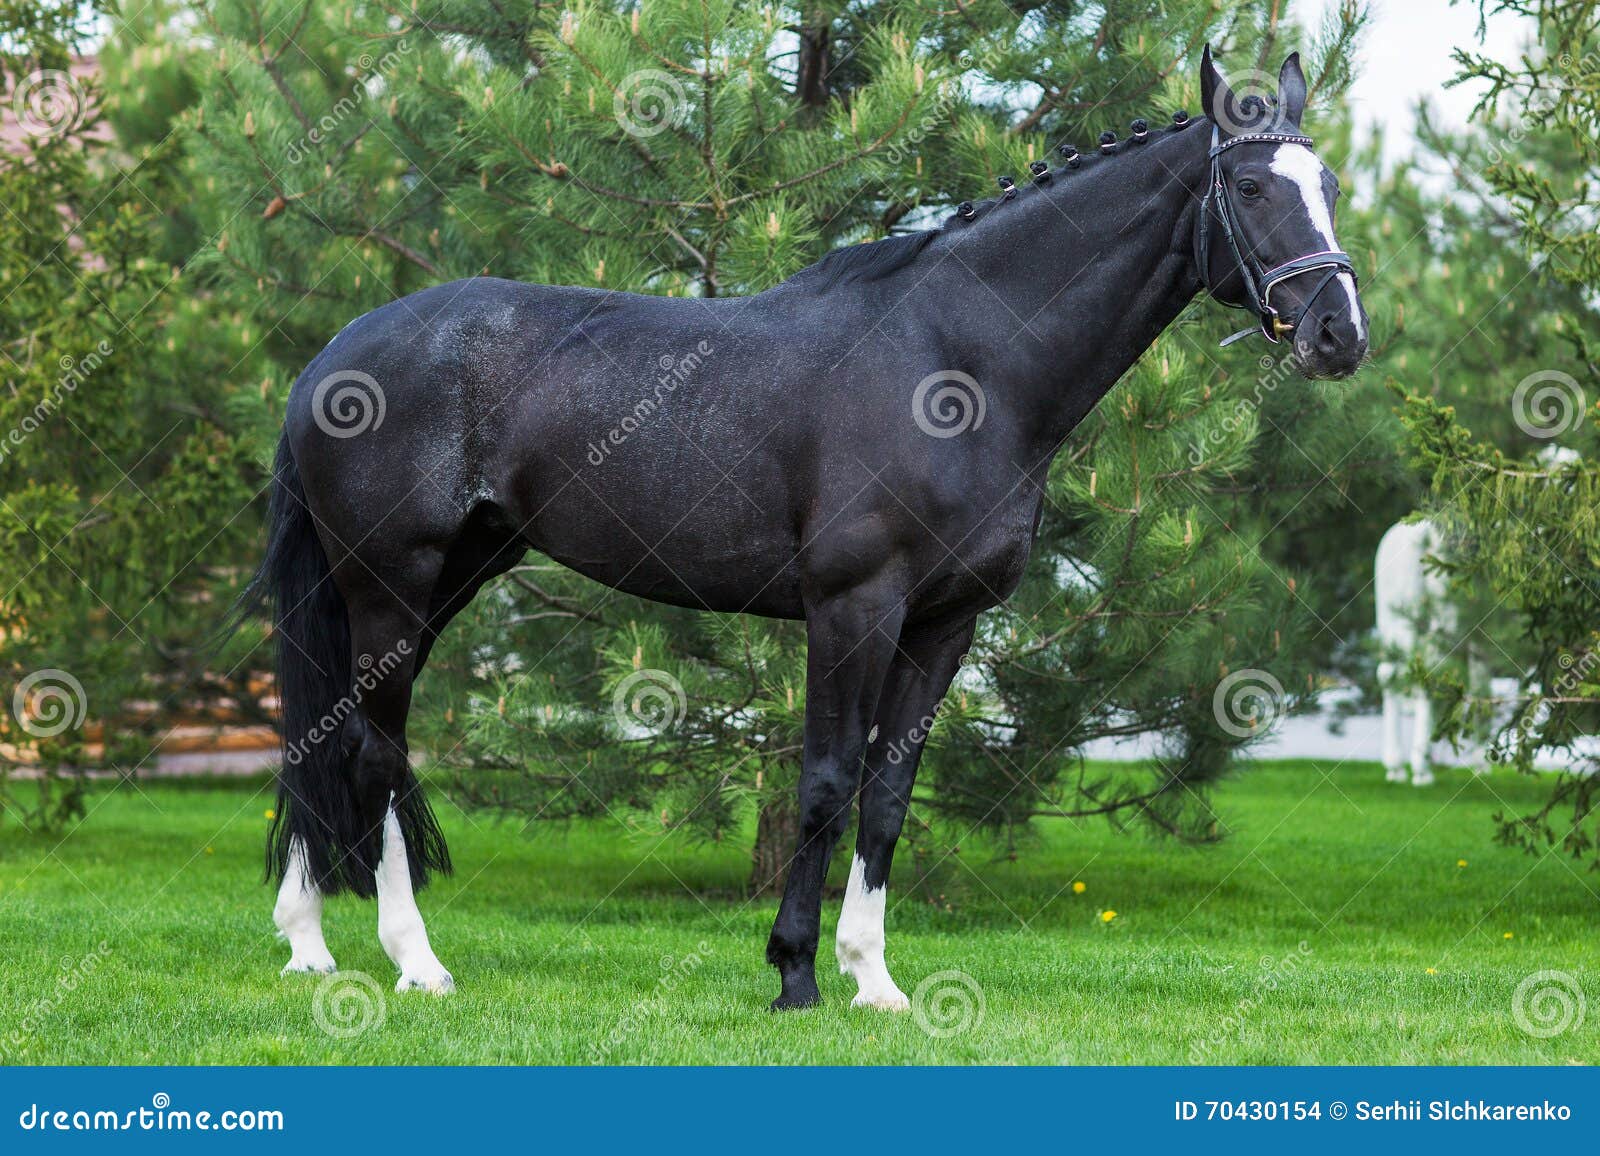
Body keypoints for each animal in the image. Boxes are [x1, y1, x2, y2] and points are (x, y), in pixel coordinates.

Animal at [246, 48, 1368, 1010]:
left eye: (1328, 183)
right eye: (1253, 188)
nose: (1339, 334)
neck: (958, 366)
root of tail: (333, 358)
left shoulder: (944, 625)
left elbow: (889, 794)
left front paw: (874, 980)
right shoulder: (852, 608)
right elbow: (827, 783)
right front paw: (794, 972)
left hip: (445, 578)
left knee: (327, 735)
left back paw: (307, 943)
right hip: (391, 582)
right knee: (376, 752)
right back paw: (414, 962)